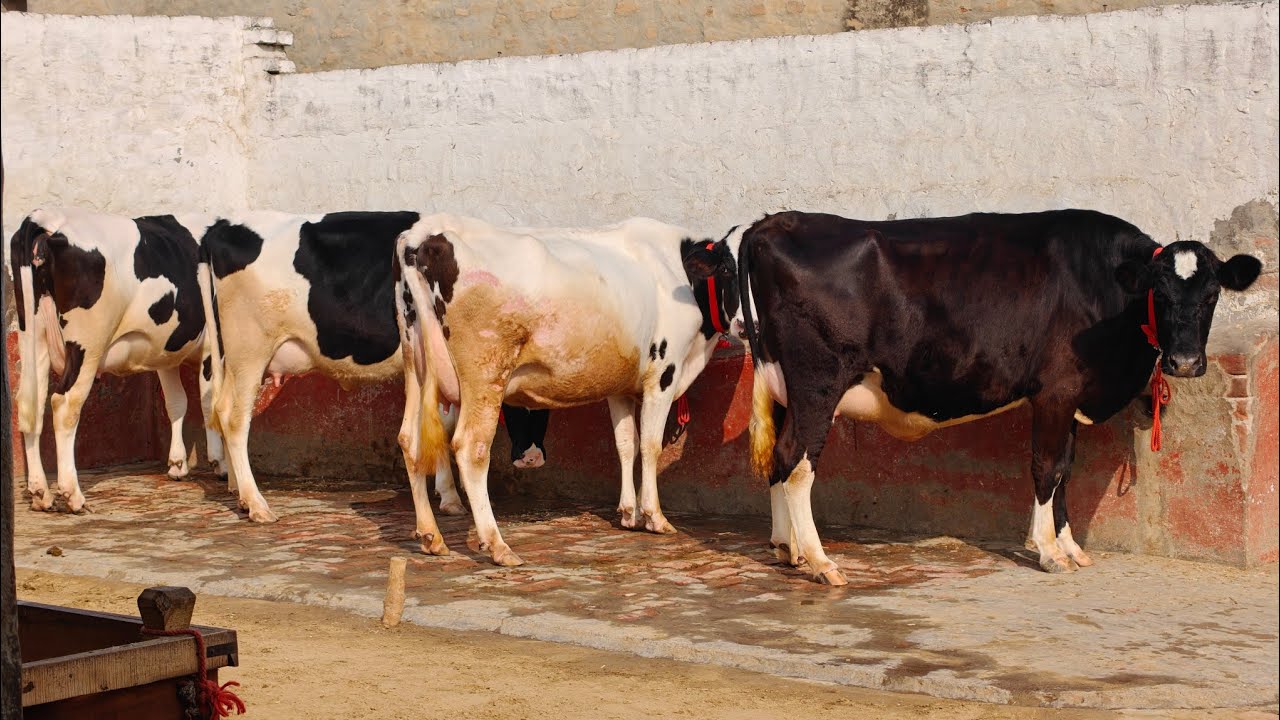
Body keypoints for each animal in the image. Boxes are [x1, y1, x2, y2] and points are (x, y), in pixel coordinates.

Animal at [8, 207, 224, 512]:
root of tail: (51, 218)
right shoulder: (210, 347)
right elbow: (208, 402)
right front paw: (219, 462)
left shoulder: (165, 351)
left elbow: (176, 402)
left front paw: (177, 463)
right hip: (88, 344)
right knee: (64, 404)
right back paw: (72, 494)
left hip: (32, 334)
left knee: (31, 406)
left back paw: (41, 493)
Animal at [196, 210, 550, 526]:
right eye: (515, 403)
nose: (532, 458)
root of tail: (222, 225)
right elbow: (443, 426)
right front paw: (450, 497)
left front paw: (448, 493)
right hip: (249, 350)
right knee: (235, 419)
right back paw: (257, 505)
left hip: (233, 355)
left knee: (221, 408)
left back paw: (239, 494)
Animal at [394, 213, 740, 565]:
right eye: (729, 270)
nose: (744, 325)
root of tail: (428, 232)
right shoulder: (663, 374)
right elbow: (650, 445)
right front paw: (654, 516)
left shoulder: (619, 384)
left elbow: (626, 443)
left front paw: (629, 513)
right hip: (485, 372)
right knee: (471, 447)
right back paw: (497, 545)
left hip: (416, 365)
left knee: (410, 440)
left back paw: (431, 536)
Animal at [735, 209, 1262, 584]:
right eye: (1160, 293)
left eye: (1212, 295)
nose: (1185, 362)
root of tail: (774, 221)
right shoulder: (1056, 391)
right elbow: (1046, 467)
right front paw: (1048, 552)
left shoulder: (1068, 396)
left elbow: (1065, 469)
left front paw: (1070, 547)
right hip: (818, 383)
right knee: (797, 461)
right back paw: (821, 562)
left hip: (785, 386)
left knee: (779, 458)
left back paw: (787, 549)